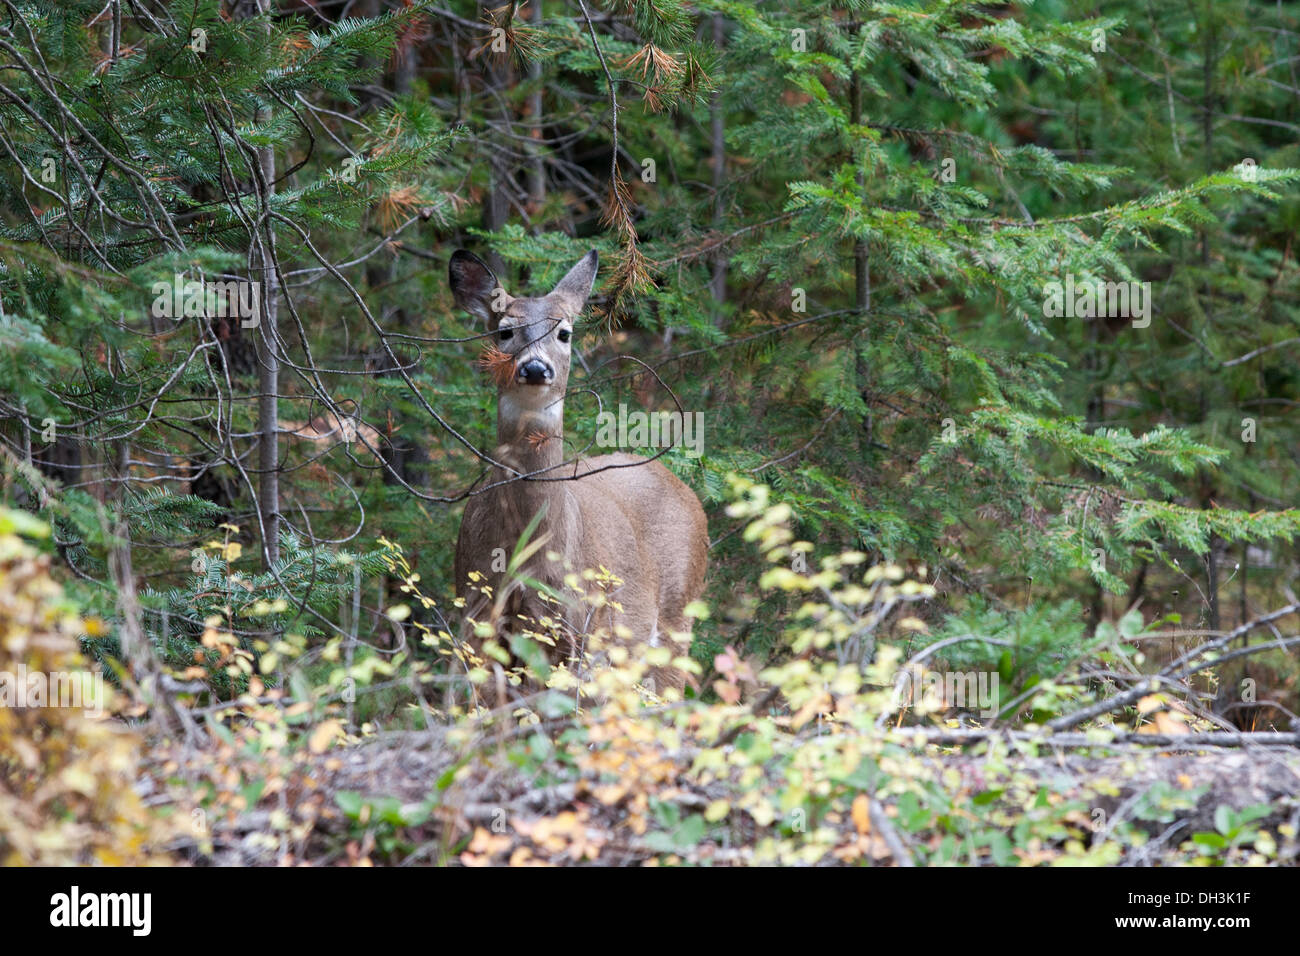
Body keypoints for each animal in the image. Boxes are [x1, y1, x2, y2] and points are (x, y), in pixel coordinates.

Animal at [449, 248, 708, 702]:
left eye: (565, 333)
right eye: (504, 331)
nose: (535, 368)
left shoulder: (578, 630)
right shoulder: (476, 620)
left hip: (676, 616)